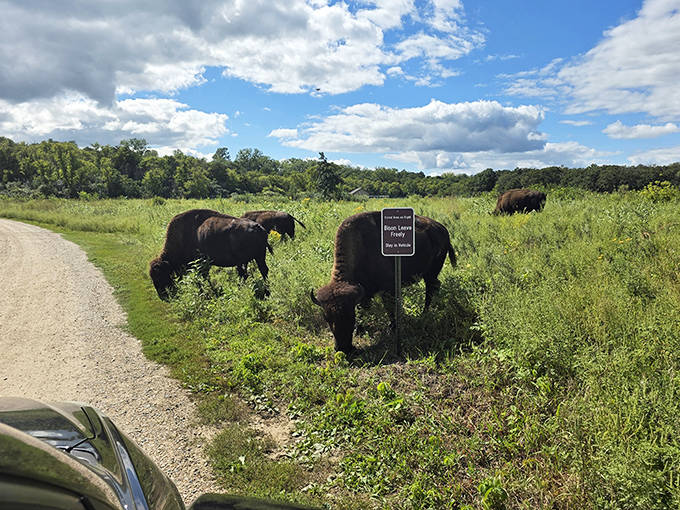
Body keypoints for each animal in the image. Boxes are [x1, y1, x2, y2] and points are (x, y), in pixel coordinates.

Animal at [310, 211, 456, 354]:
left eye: (350, 316)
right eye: (327, 318)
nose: (342, 348)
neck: (361, 246)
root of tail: (443, 230)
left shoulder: (387, 289)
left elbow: (389, 308)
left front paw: (392, 328)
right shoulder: (365, 292)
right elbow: (364, 308)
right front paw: (360, 329)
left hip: (431, 273)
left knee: (430, 289)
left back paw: (424, 314)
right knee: (435, 286)